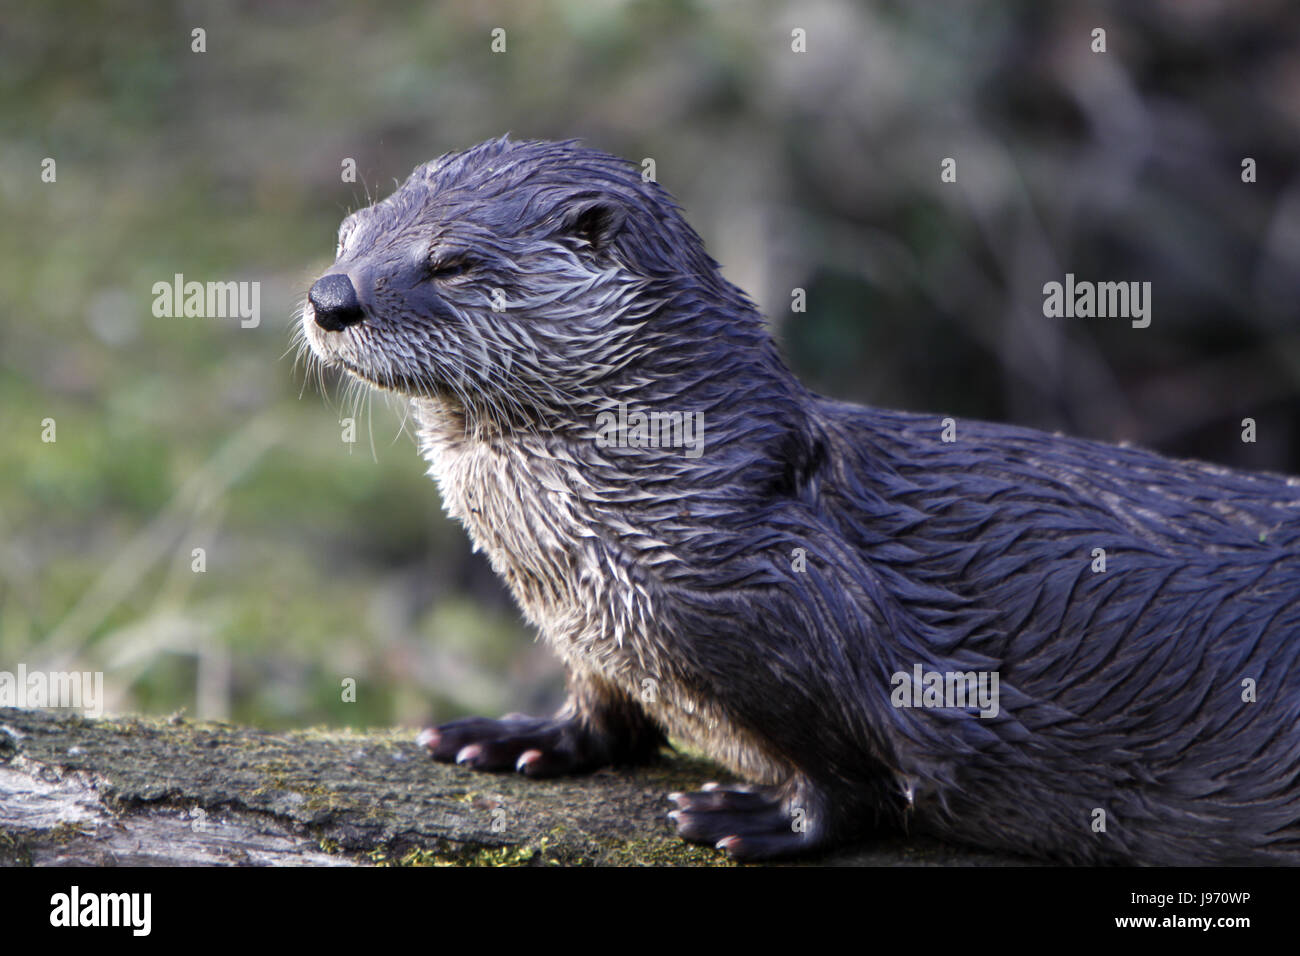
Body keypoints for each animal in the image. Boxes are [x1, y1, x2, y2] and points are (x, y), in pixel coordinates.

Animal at [300, 136, 1300, 864]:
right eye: (352, 231)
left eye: (452, 261)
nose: (329, 297)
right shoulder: (598, 629)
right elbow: (603, 703)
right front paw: (517, 736)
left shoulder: (809, 609)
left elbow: (857, 775)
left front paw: (754, 818)